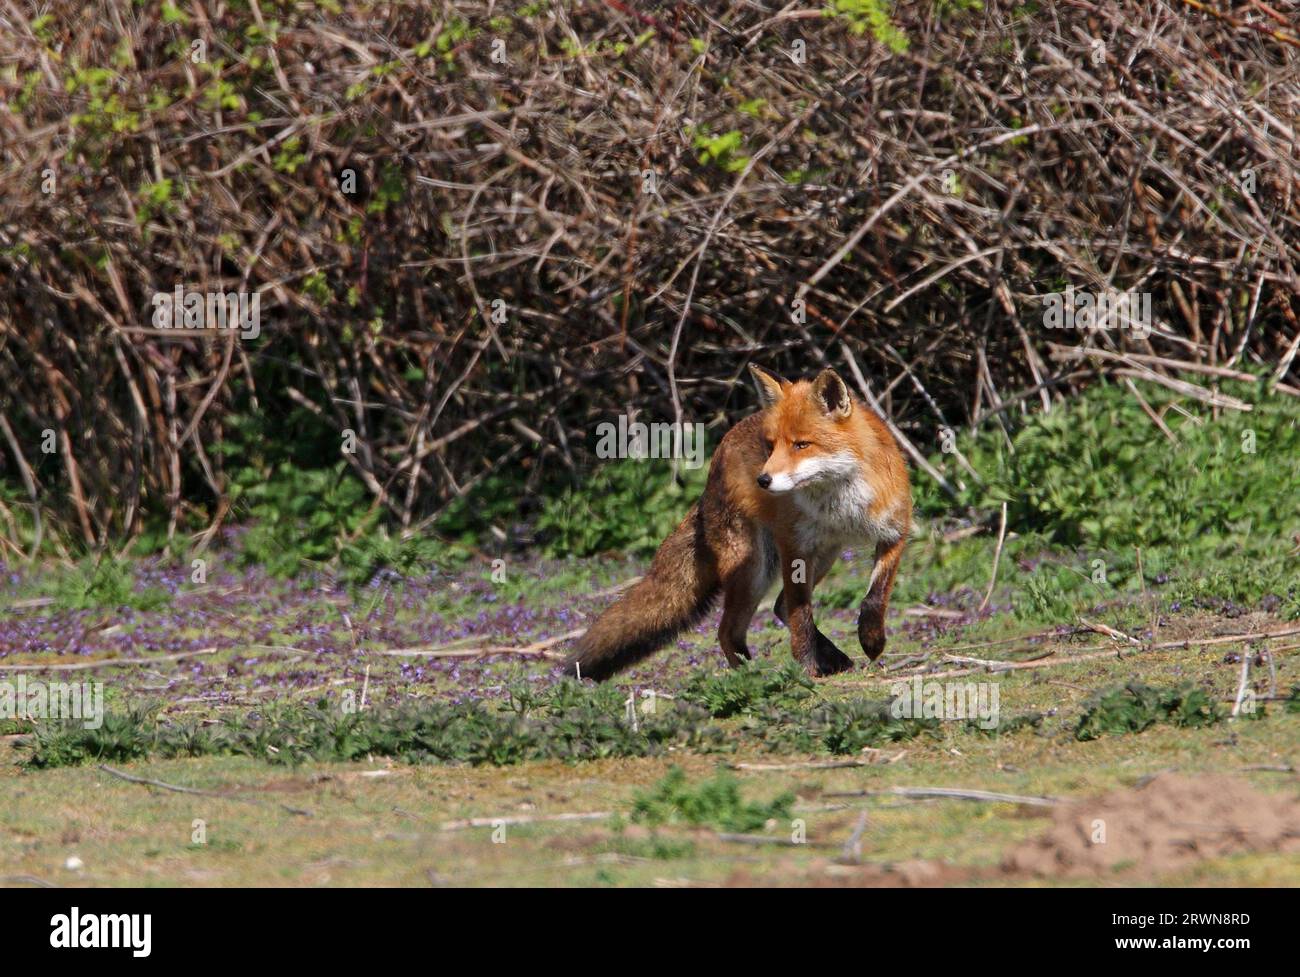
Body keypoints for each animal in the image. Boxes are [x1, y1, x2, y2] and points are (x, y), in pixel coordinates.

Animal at [564, 365, 911, 681]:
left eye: (802, 445)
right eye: (770, 446)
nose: (764, 480)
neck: (840, 510)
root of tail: (717, 459)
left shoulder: (894, 531)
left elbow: (875, 596)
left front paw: (871, 639)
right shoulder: (795, 547)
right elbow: (801, 616)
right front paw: (807, 670)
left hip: (823, 555)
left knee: (778, 606)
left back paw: (832, 659)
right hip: (754, 567)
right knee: (729, 630)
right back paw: (752, 675)